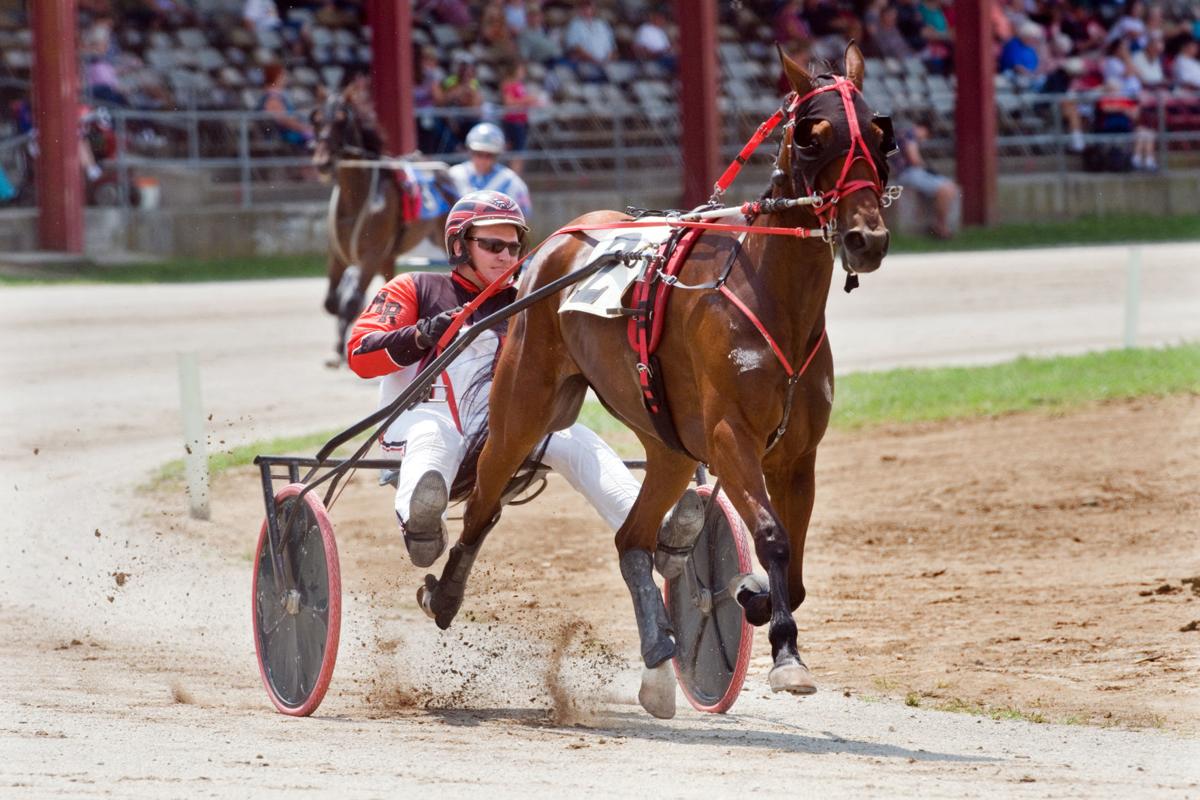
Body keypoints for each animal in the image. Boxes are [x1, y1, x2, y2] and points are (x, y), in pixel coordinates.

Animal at [311, 93, 457, 365]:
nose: (322, 162)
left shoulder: (371, 255)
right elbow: (331, 303)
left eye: (341, 119)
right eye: (316, 119)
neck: (355, 198)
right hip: (388, 256)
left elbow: (351, 302)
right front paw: (340, 347)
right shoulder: (338, 255)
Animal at [417, 44, 896, 717]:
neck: (768, 293)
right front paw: (785, 655)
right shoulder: (730, 438)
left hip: (667, 446)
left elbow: (795, 570)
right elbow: (773, 538)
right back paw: (445, 590)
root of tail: (559, 241)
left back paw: (658, 667)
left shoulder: (797, 456)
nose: (866, 238)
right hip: (522, 408)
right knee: (483, 504)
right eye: (814, 137)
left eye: (880, 136)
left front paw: (752, 600)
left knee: (631, 539)